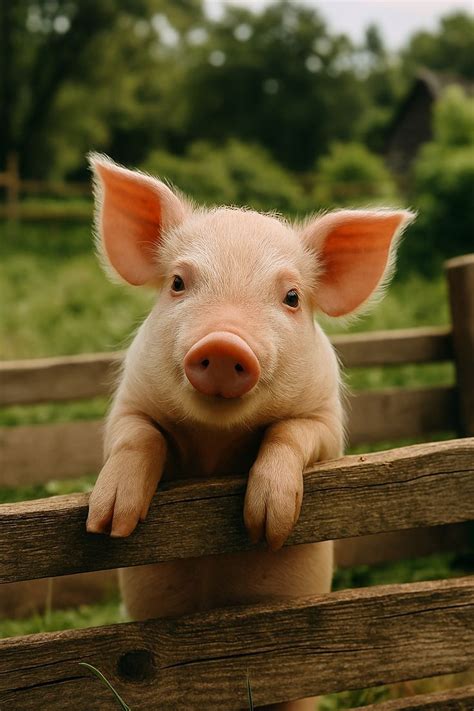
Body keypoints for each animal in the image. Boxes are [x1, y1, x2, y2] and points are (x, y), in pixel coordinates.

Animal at [86, 153, 413, 710]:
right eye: (178, 283)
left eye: (292, 296)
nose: (224, 343)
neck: (216, 443)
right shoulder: (127, 406)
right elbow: (139, 438)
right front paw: (108, 524)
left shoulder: (328, 424)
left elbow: (289, 434)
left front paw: (266, 528)